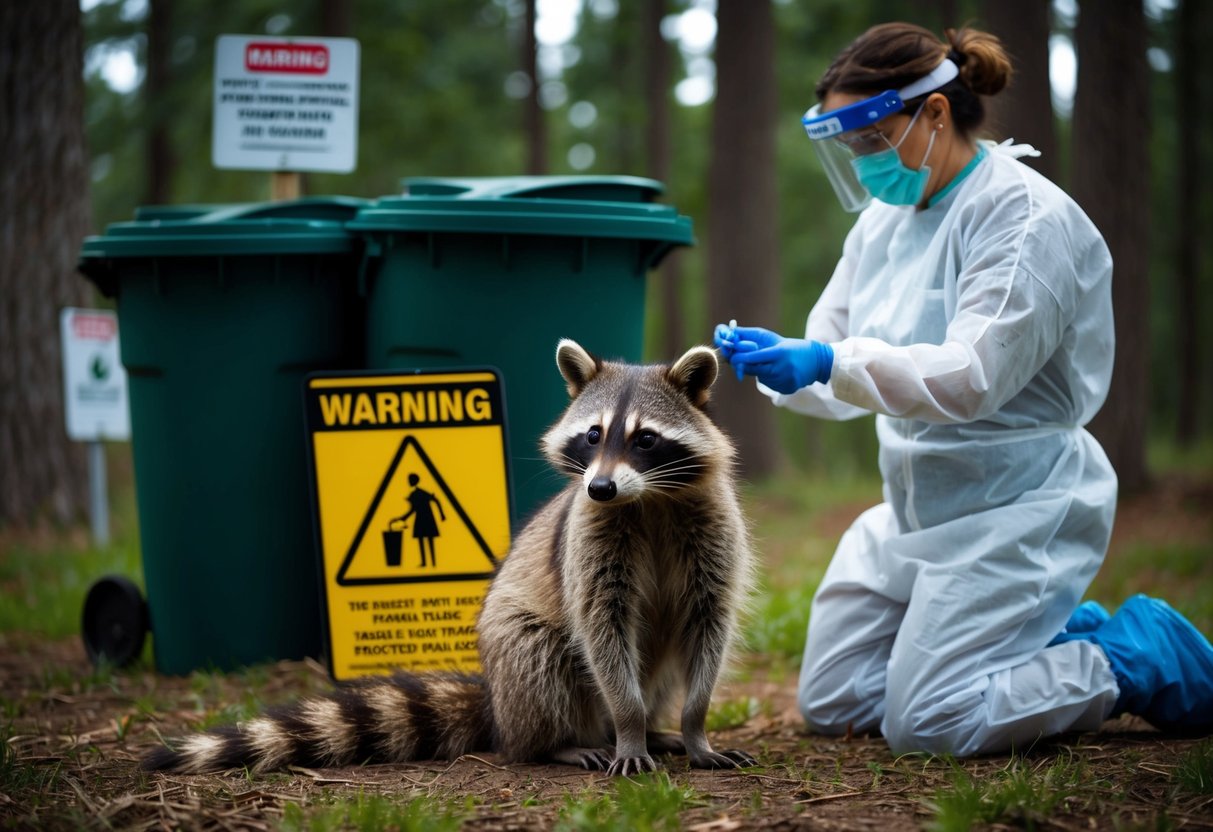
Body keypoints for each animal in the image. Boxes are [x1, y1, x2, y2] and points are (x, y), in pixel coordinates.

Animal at [142, 340, 755, 777]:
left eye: (645, 439)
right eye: (593, 434)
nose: (600, 488)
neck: (646, 499)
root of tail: (499, 708)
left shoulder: (711, 531)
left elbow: (709, 624)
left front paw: (693, 725)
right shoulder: (592, 539)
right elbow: (600, 628)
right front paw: (629, 725)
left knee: (662, 663)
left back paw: (654, 725)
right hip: (515, 656)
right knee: (542, 654)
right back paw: (564, 741)